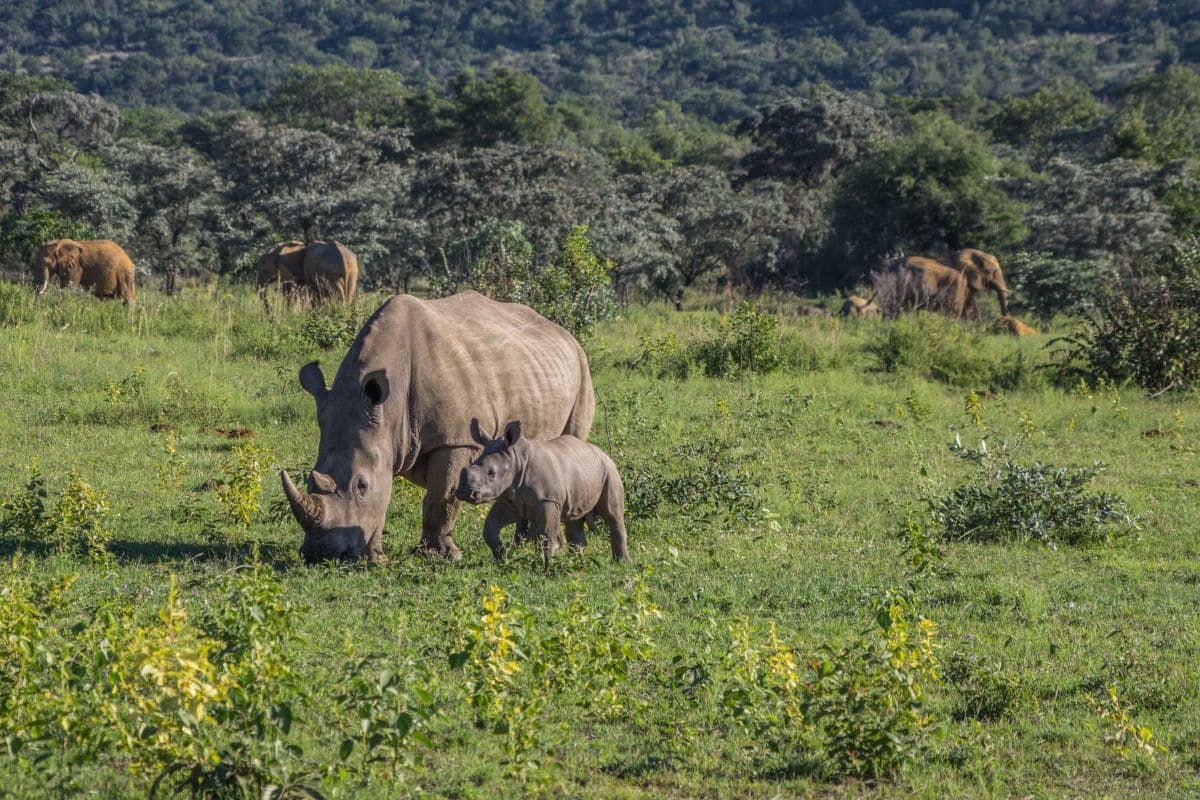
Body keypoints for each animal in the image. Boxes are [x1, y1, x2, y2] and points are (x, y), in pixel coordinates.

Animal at [282, 291, 595, 563]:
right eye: (309, 480)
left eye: (362, 485)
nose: (321, 554)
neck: (389, 409)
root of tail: (563, 332)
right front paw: (378, 557)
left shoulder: (457, 439)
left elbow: (441, 498)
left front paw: (439, 556)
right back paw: (523, 543)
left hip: (582, 369)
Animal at [455, 421, 629, 562]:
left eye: (491, 473)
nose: (464, 493)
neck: (516, 459)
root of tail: (600, 451)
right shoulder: (509, 499)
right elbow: (490, 528)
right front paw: (502, 559)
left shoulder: (548, 499)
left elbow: (546, 534)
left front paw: (545, 565)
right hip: (583, 472)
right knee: (573, 519)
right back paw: (575, 561)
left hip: (609, 470)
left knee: (613, 515)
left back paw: (621, 563)